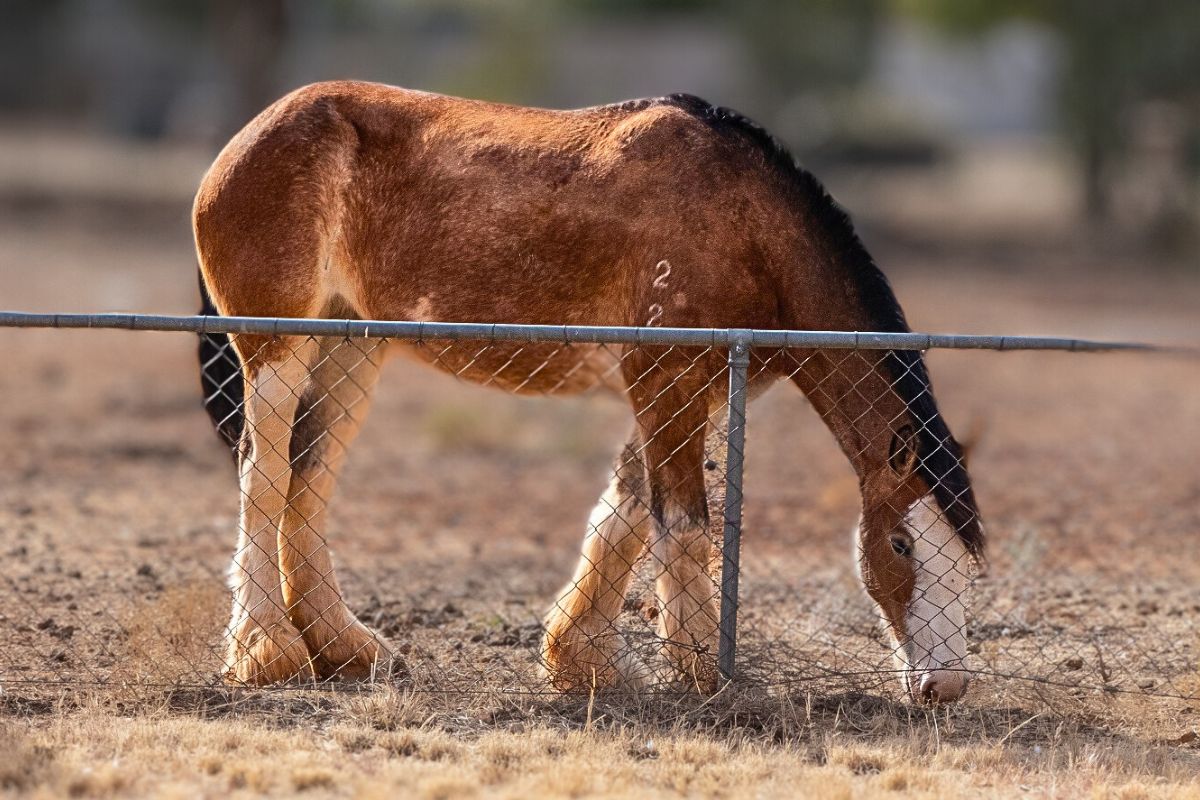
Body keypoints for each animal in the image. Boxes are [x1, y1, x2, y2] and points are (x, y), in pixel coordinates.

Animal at [195, 81, 984, 703]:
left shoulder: (686, 390)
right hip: (277, 348)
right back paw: (268, 652)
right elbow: (682, 525)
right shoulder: (667, 378)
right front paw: (706, 675)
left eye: (971, 560)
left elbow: (626, 512)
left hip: (350, 348)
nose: (944, 685)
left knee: (306, 480)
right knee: (264, 475)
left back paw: (348, 651)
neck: (741, 220)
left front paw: (585, 663)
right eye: (902, 543)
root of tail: (246, 141)